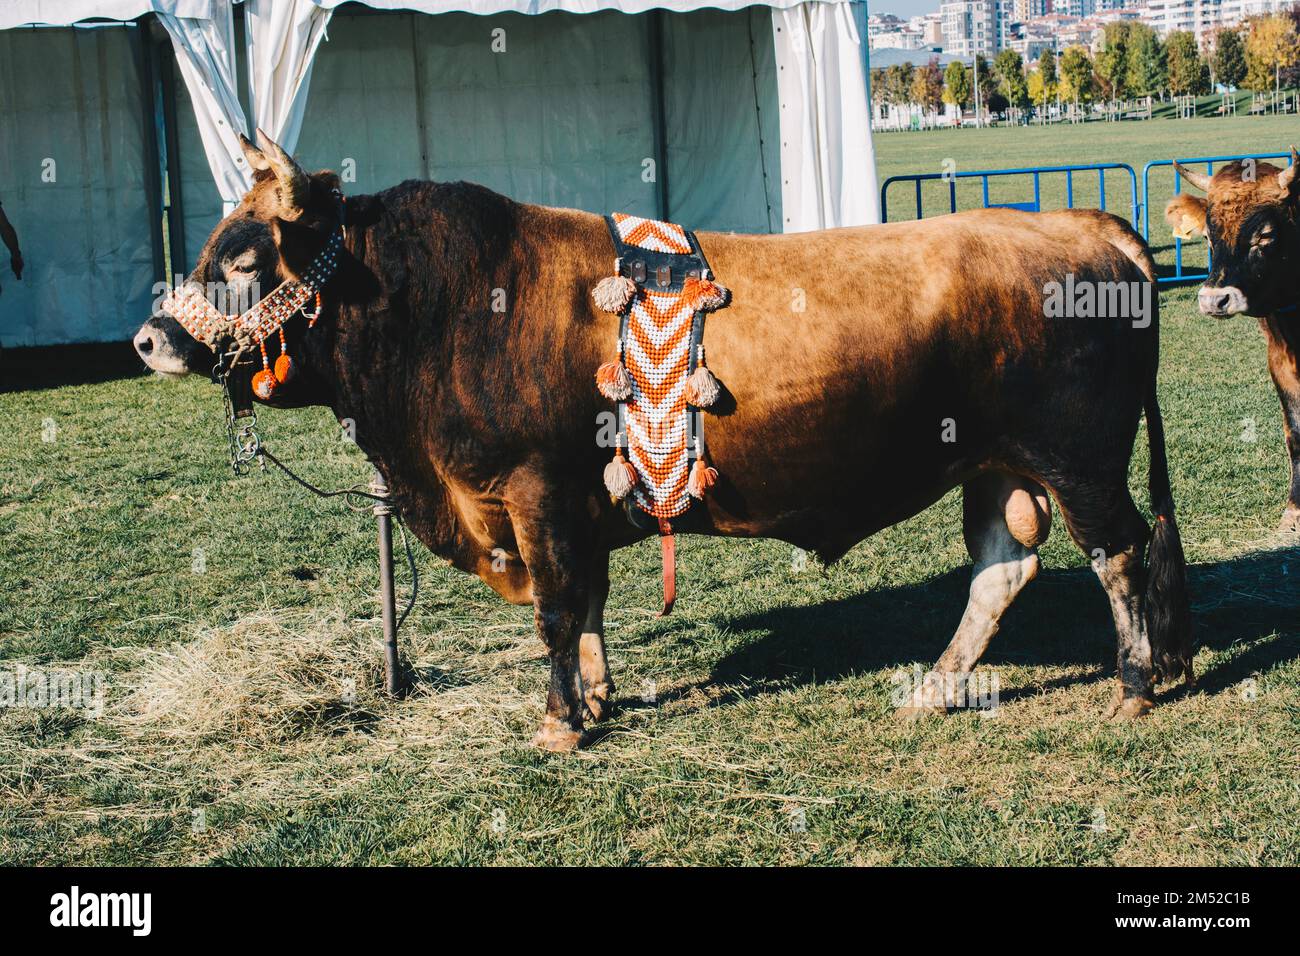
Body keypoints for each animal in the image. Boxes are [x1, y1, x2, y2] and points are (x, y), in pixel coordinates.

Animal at [134, 131, 1192, 750]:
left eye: (240, 257)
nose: (150, 339)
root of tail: (1084, 222)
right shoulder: (575, 500)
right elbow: (589, 603)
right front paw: (598, 698)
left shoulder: (536, 489)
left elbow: (555, 609)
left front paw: (561, 724)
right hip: (997, 464)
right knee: (1004, 566)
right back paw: (936, 686)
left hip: (1080, 461)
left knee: (1120, 555)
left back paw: (1137, 685)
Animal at [1165, 148, 1300, 531]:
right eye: (1209, 236)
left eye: (1265, 236)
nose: (1214, 300)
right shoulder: (1280, 362)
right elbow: (1295, 433)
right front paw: (1294, 510)